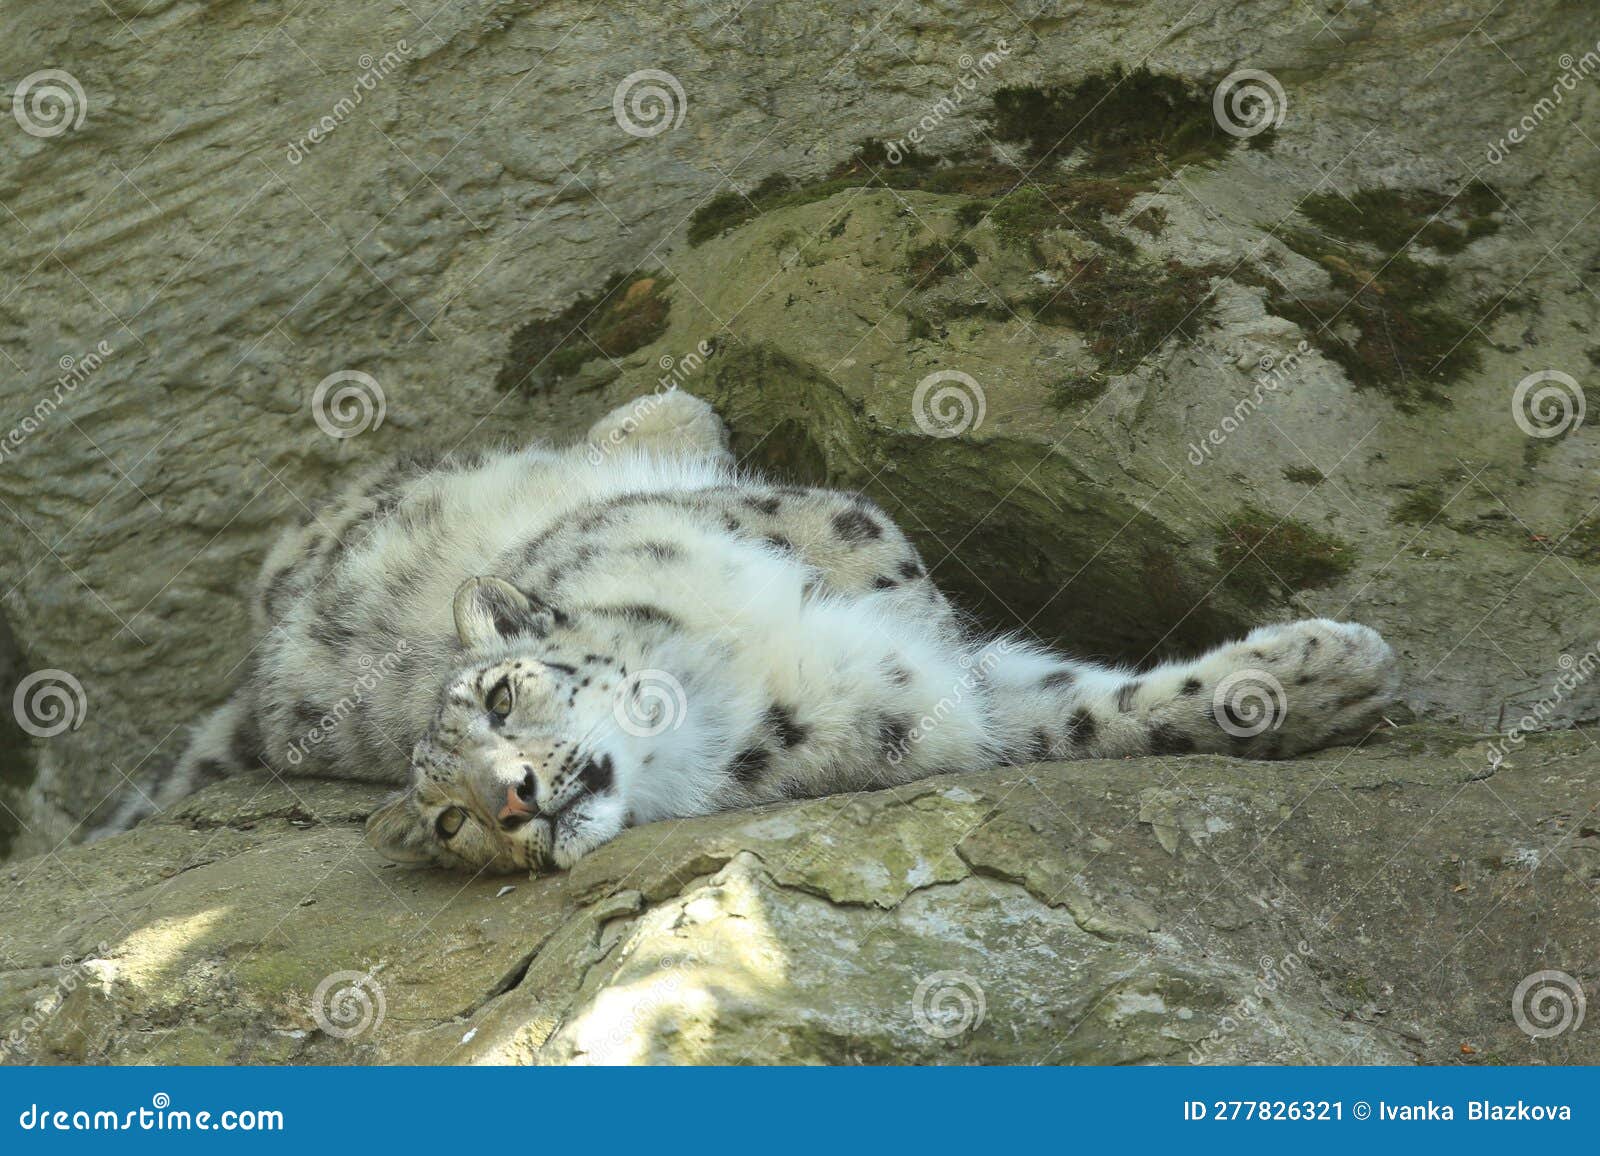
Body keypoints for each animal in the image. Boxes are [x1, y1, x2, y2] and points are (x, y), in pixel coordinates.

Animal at [101, 389, 1400, 874]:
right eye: (446, 823)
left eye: (501, 696)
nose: (513, 800)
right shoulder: (935, 726)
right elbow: (1076, 718)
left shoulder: (809, 526)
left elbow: (887, 573)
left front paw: (1320, 673)